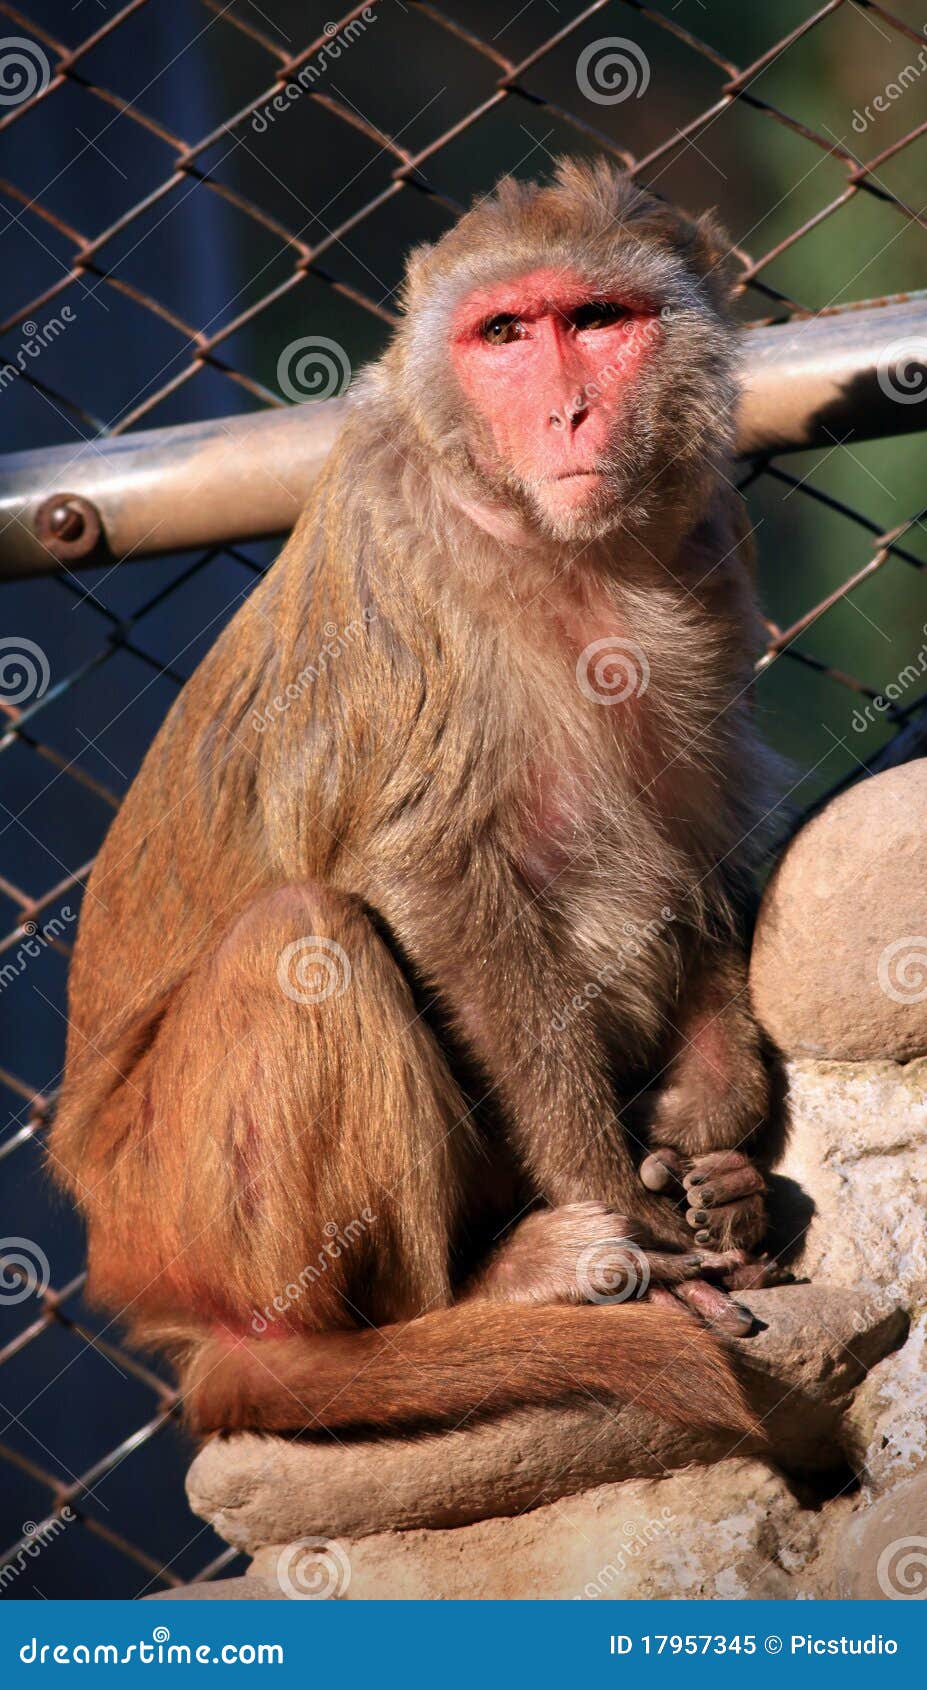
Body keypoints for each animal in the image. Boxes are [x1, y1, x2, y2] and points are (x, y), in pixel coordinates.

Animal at [50, 158, 782, 1445]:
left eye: (597, 320)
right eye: (505, 335)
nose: (569, 412)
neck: (550, 544)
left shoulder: (710, 541)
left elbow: (692, 825)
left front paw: (712, 1123)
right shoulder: (409, 561)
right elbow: (426, 871)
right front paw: (622, 1200)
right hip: (178, 1213)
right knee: (302, 936)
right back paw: (455, 1306)